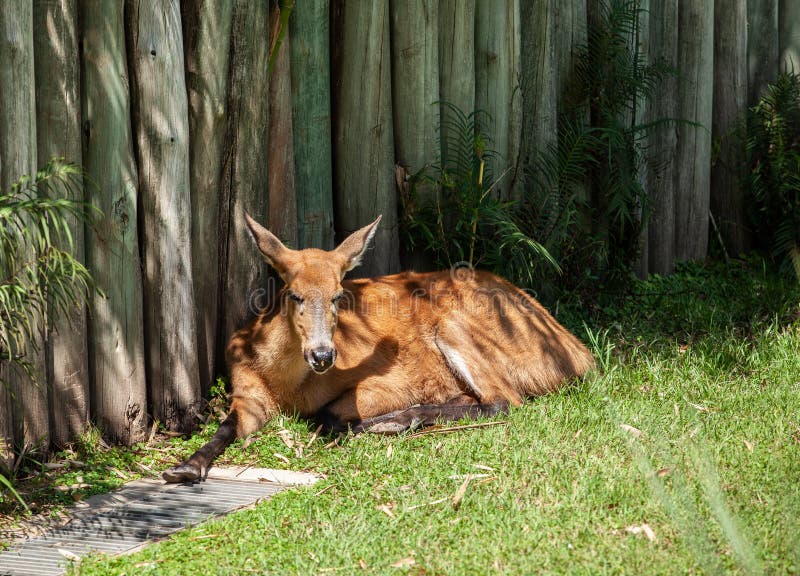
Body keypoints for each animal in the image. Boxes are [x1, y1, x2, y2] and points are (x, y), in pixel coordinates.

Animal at [162, 214, 595, 483]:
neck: (285, 384)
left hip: (454, 324)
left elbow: (329, 416)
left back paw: (392, 422)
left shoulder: (385, 380)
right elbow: (225, 427)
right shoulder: (248, 392)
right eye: (295, 295)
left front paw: (366, 423)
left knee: (504, 400)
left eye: (338, 296)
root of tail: (579, 353)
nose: (323, 356)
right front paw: (184, 467)